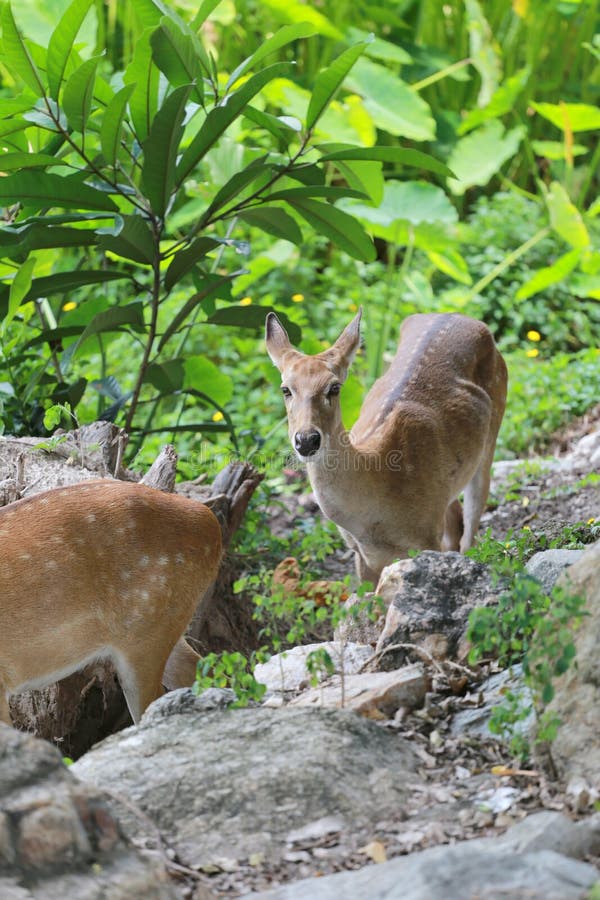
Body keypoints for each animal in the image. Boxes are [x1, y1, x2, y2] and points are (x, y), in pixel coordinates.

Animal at [266, 309, 507, 585]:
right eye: (286, 389)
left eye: (334, 387)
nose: (306, 440)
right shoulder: (359, 554)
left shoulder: (427, 538)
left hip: (495, 421)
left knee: (472, 528)